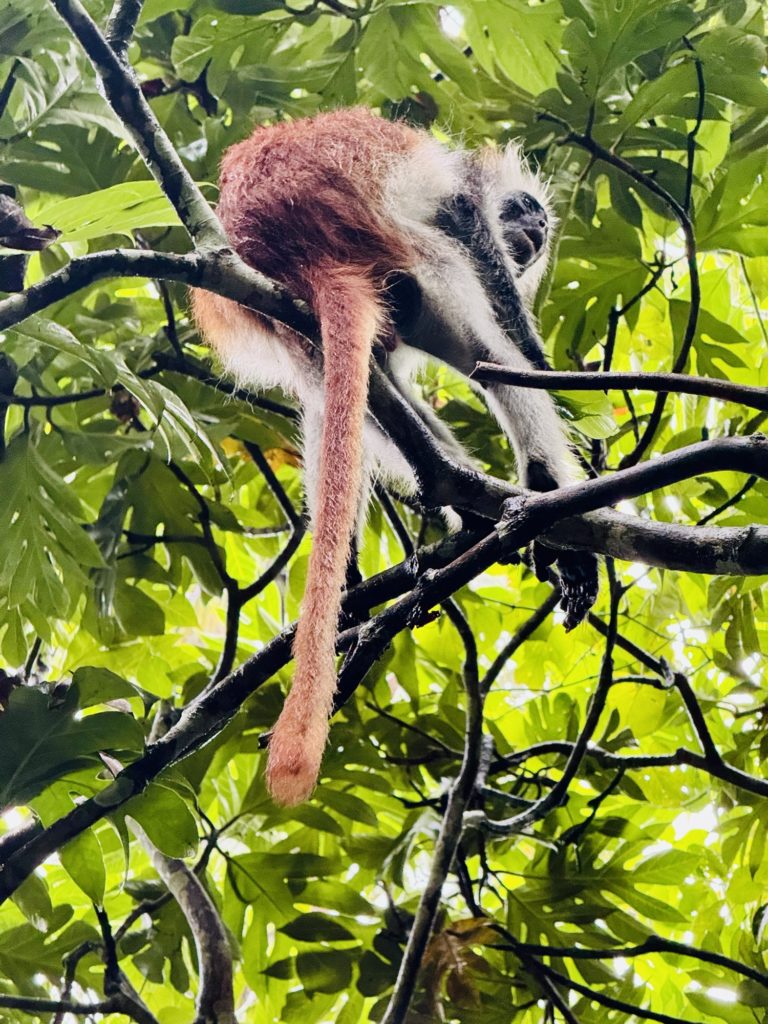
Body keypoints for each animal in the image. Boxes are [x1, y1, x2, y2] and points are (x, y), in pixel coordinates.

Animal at [191, 107, 598, 806]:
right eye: (526, 210)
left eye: (541, 225)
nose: (537, 231)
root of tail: (285, 240)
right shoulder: (465, 206)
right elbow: (478, 248)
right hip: (400, 248)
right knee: (488, 356)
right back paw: (545, 496)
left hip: (302, 315)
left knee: (348, 397)